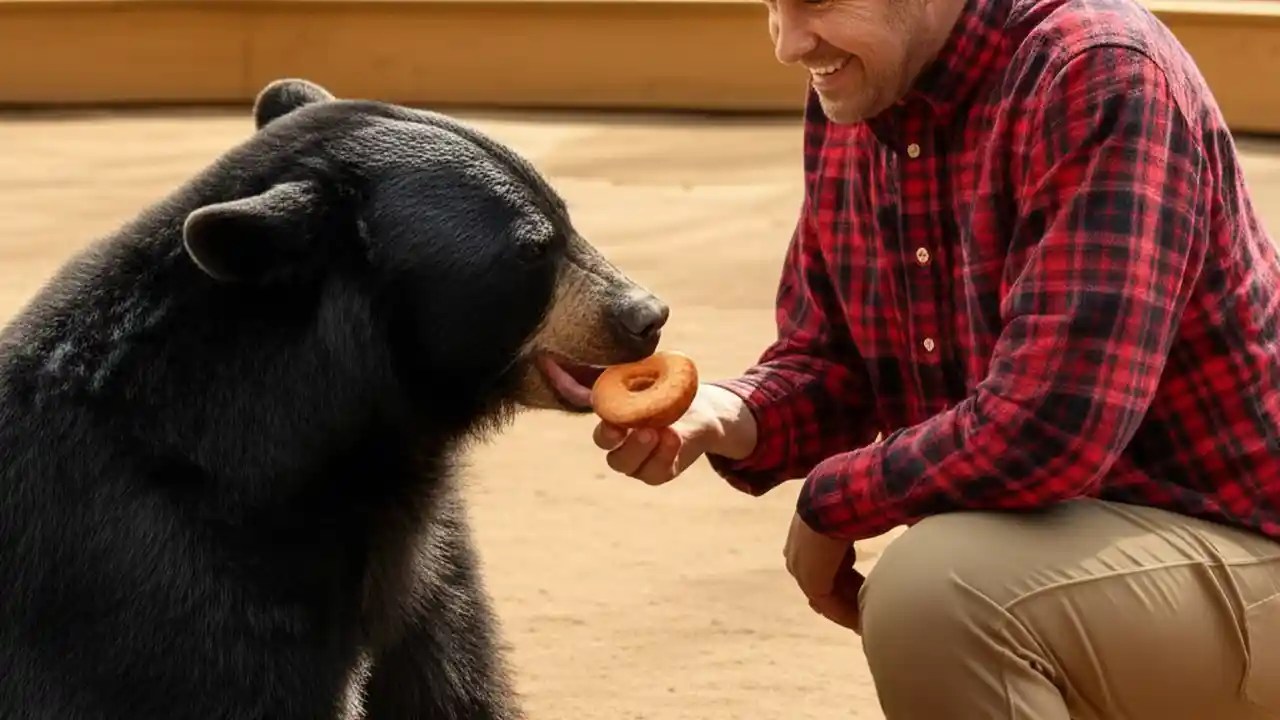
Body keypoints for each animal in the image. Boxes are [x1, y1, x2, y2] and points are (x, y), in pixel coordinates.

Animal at [0, 78, 671, 720]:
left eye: (565, 218)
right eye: (532, 248)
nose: (646, 315)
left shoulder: (424, 565)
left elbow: (447, 680)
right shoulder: (163, 583)